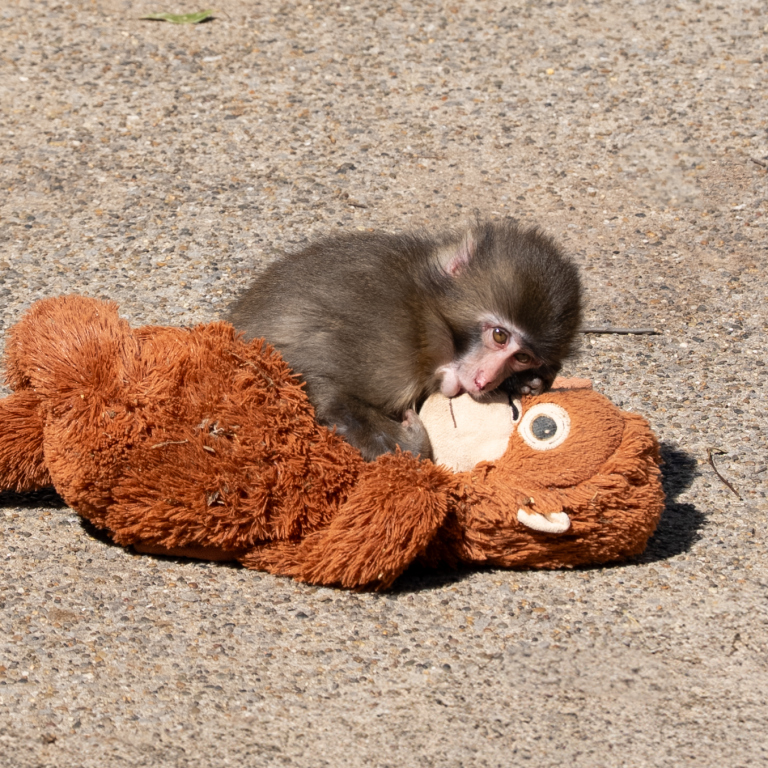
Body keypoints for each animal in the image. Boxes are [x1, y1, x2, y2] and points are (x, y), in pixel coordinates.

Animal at [226, 219, 582, 462]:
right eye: (499, 335)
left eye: (522, 358)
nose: (486, 380)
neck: (426, 313)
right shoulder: (389, 343)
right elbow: (319, 386)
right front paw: (412, 443)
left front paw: (526, 382)